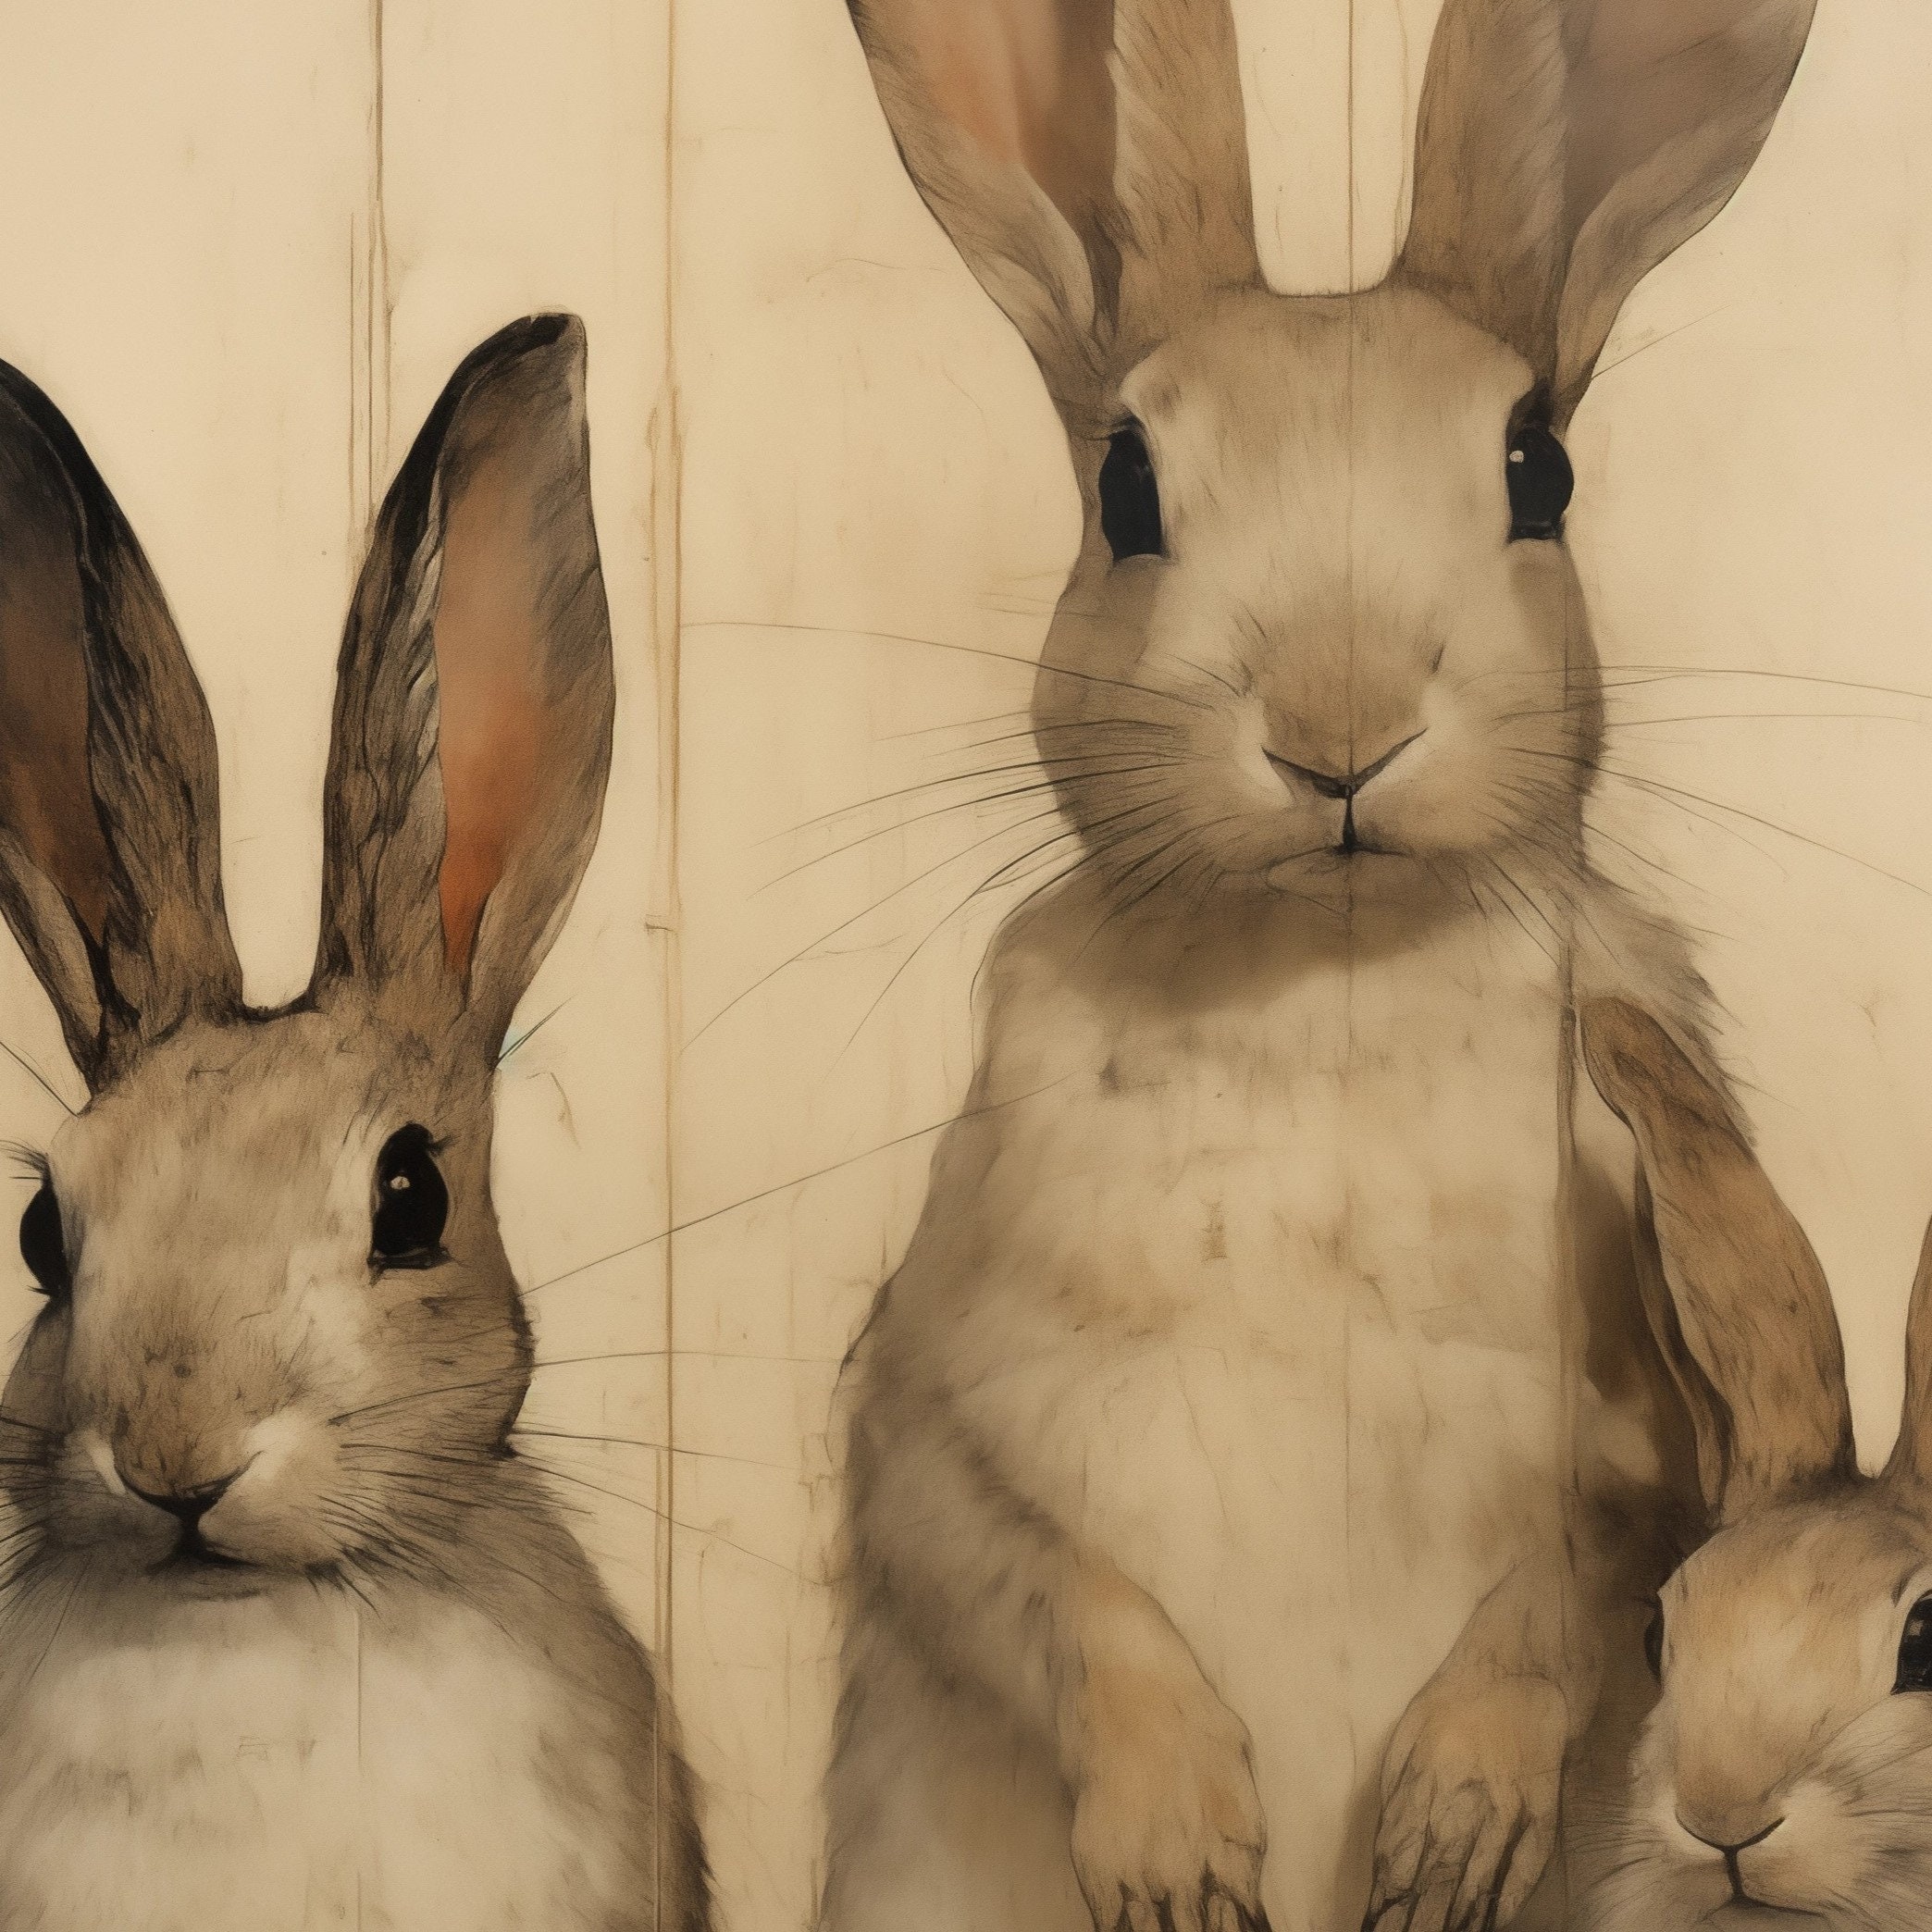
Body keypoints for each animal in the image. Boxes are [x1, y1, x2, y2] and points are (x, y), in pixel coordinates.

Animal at [824, 2, 1819, 1931]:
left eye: (1534, 471)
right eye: (1124, 487)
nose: (1336, 728)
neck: (1324, 973)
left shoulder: (1641, 1447)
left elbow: (1586, 1577)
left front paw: (1442, 1833)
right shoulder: (931, 1404)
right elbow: (1027, 1568)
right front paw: (1181, 1853)